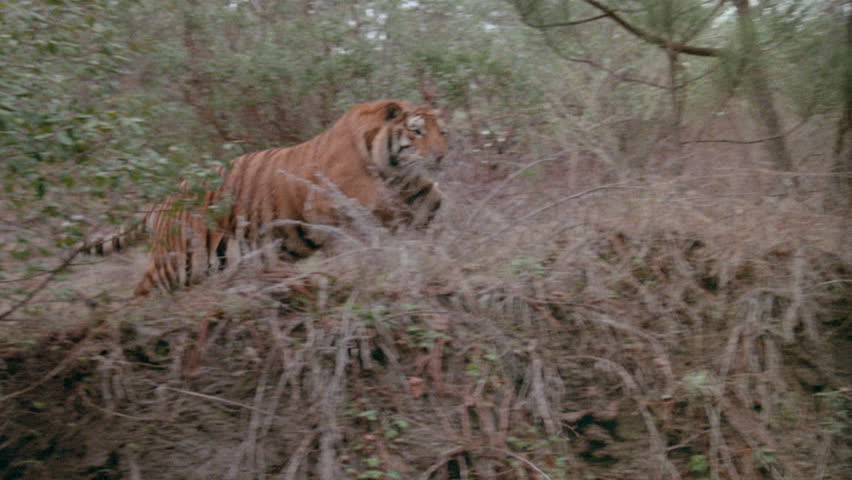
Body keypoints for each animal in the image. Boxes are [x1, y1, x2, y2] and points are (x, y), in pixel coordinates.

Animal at [84, 100, 448, 296]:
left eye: (441, 131)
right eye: (417, 131)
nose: (441, 155)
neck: (391, 167)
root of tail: (163, 200)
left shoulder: (413, 187)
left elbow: (434, 202)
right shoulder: (342, 200)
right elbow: (378, 214)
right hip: (180, 261)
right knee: (142, 290)